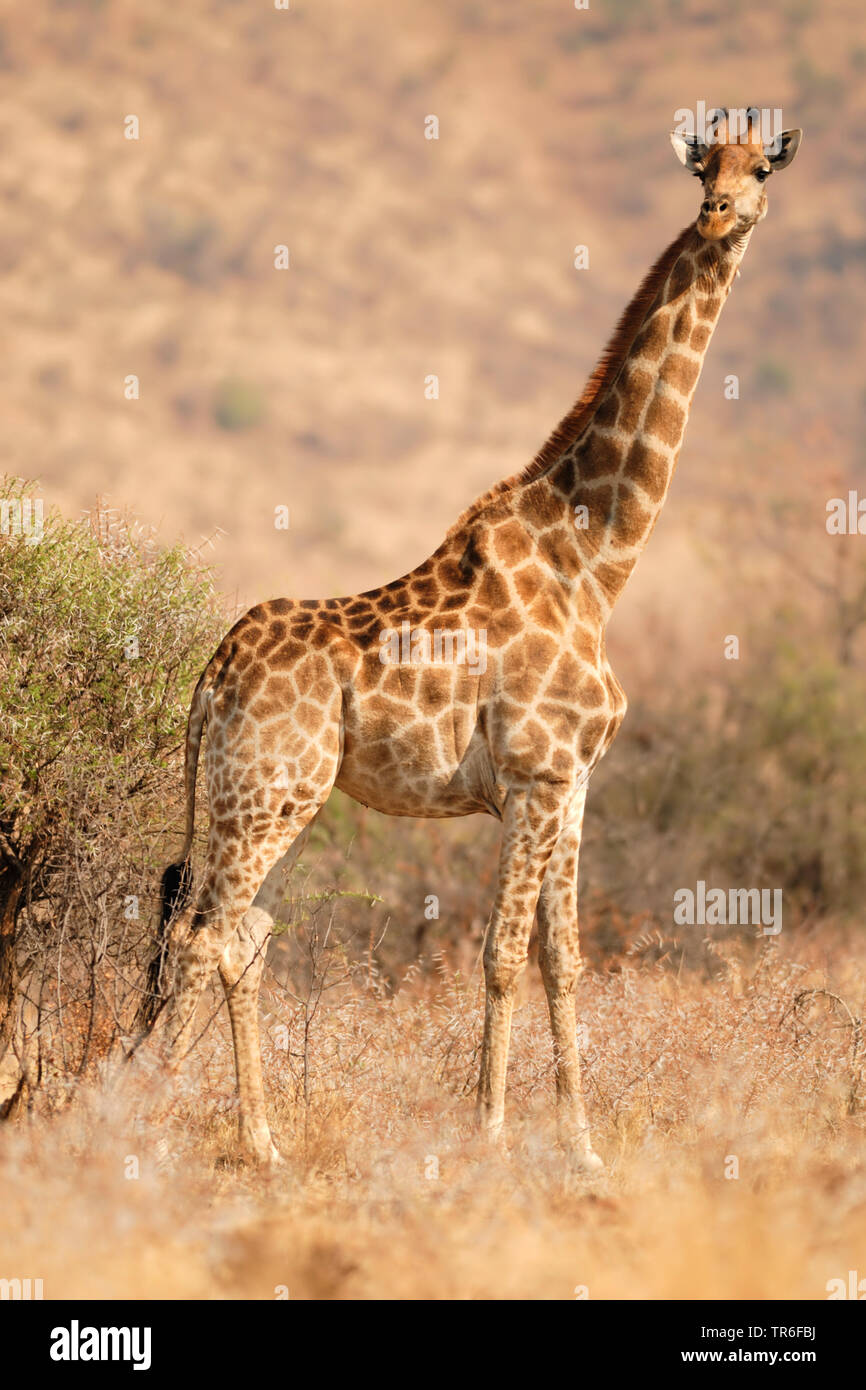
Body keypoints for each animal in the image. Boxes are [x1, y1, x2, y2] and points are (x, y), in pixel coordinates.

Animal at [140, 116, 801, 1167]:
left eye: (762, 167)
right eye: (706, 166)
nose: (719, 213)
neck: (596, 559)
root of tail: (210, 678)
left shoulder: (573, 783)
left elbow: (562, 955)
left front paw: (581, 1146)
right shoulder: (532, 776)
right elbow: (498, 955)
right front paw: (489, 1132)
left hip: (252, 795)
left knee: (234, 934)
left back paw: (249, 1134)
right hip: (271, 793)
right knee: (214, 935)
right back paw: (181, 1134)